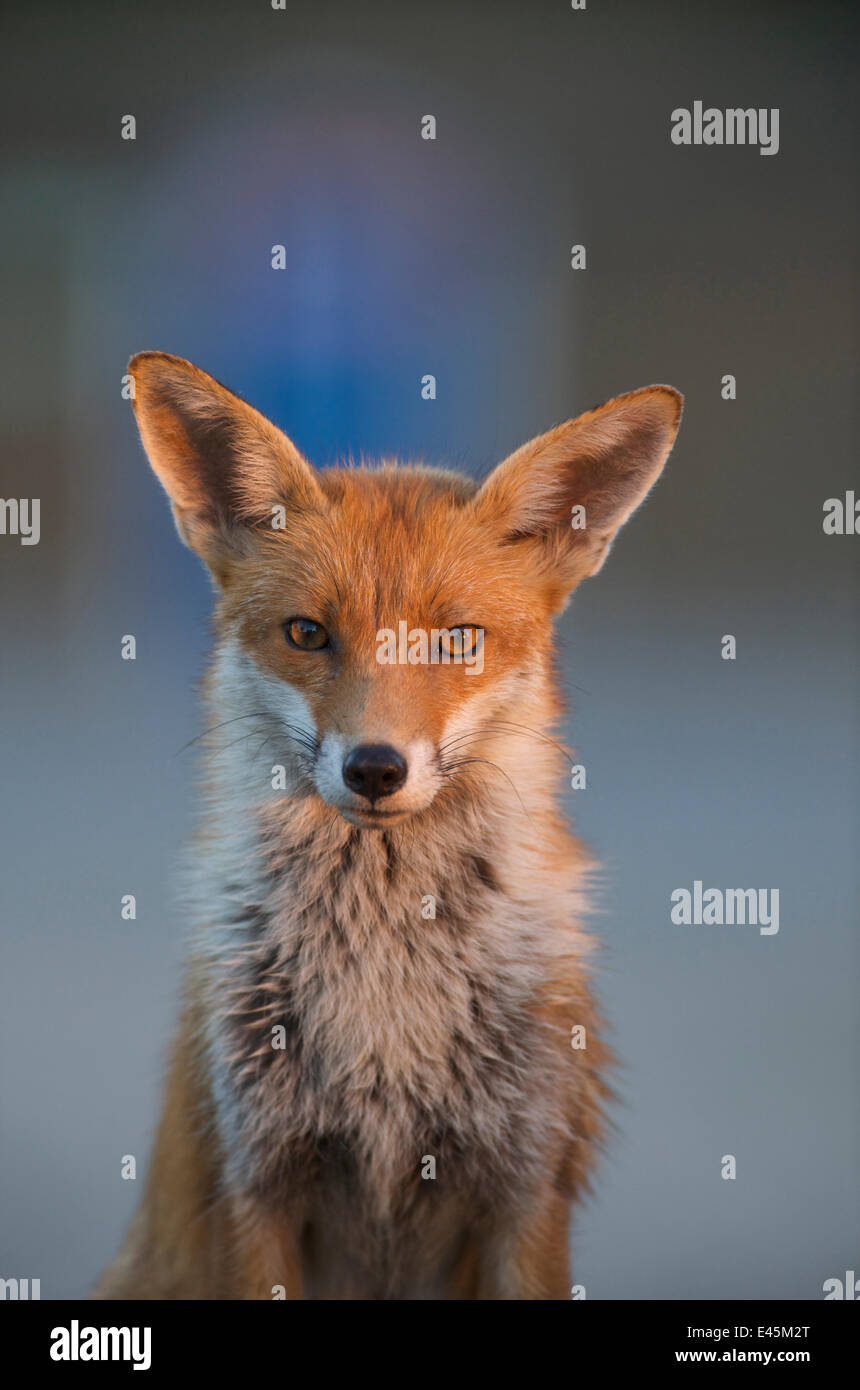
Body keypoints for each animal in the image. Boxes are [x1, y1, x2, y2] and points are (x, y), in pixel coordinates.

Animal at [96, 352, 683, 1300]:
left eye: (457, 641)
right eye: (307, 633)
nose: (375, 768)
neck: (385, 984)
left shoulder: (526, 1190)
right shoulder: (254, 1184)